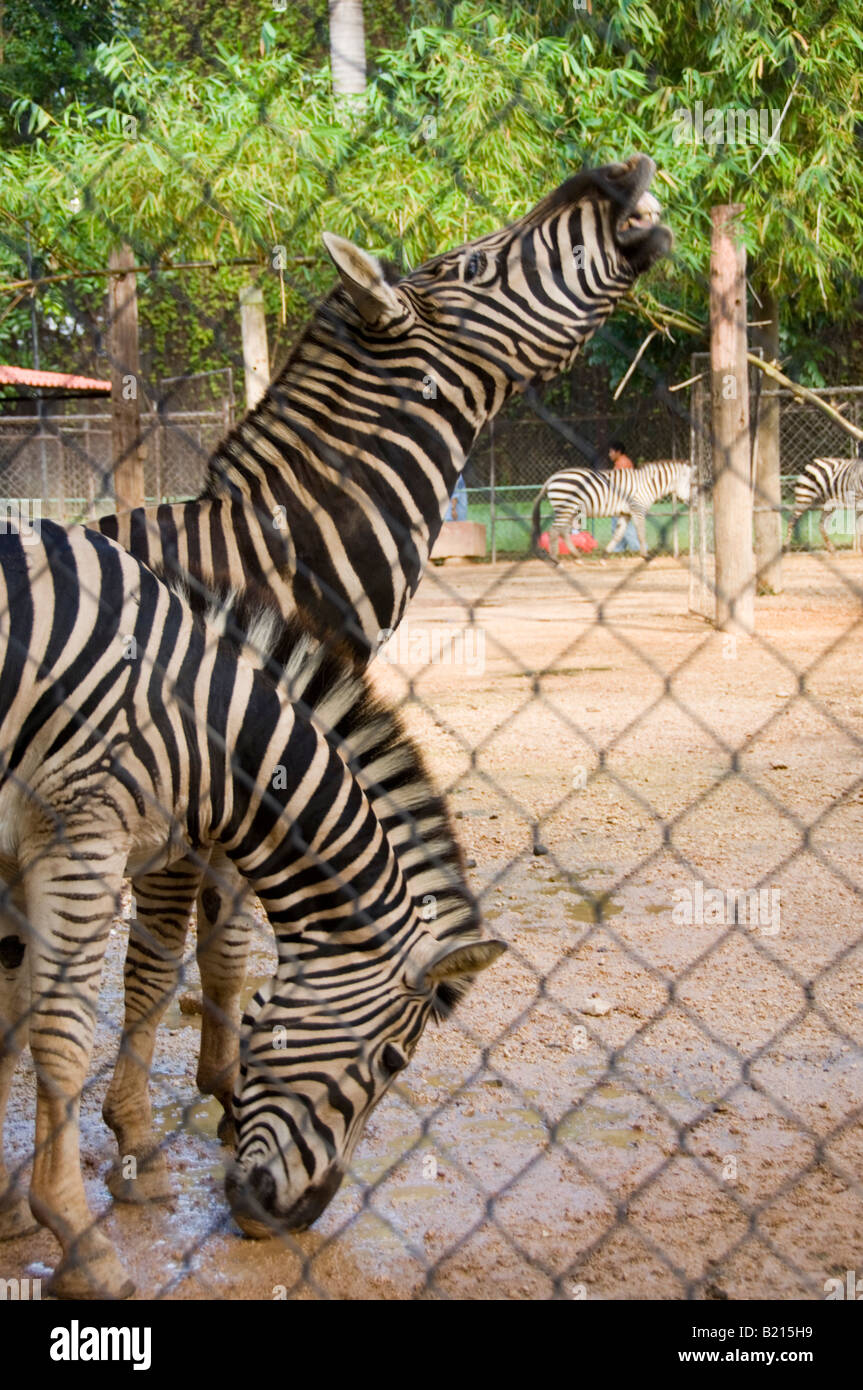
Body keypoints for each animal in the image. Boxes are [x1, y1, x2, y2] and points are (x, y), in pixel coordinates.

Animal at [0, 520, 504, 1298]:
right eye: (392, 1061)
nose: (290, 1220)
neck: (201, 718)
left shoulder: (20, 861)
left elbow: (11, 1025)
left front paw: (8, 1208)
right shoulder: (80, 834)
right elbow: (62, 1035)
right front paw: (78, 1241)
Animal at [89, 153, 670, 1157]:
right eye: (471, 267)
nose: (617, 170)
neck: (271, 558)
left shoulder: (260, 775)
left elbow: (226, 945)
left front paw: (223, 1088)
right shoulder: (183, 784)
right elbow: (157, 961)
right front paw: (132, 1130)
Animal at [531, 461, 691, 560]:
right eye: (691, 485)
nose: (692, 503)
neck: (648, 485)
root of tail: (552, 477)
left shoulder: (625, 513)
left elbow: (618, 535)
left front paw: (605, 555)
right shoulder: (637, 510)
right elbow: (641, 533)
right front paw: (645, 556)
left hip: (570, 510)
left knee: (563, 531)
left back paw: (577, 556)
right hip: (566, 507)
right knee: (554, 531)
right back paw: (555, 560)